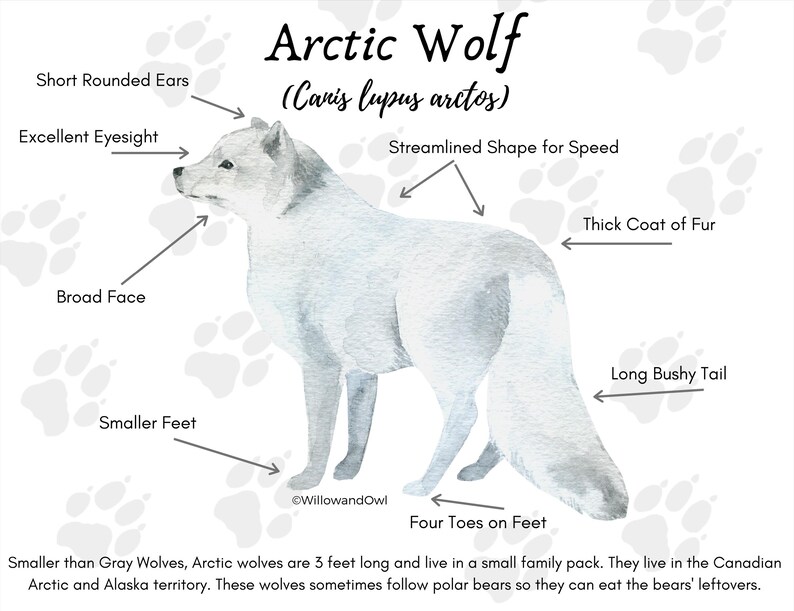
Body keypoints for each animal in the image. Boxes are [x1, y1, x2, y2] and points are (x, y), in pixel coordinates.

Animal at [173, 117, 628, 520]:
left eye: (226, 164)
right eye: (210, 154)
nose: (176, 170)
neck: (289, 228)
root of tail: (526, 261)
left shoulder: (319, 366)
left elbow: (320, 434)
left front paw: (310, 480)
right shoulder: (360, 372)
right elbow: (359, 429)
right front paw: (348, 473)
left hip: (440, 362)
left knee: (464, 417)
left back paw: (425, 485)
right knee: (497, 426)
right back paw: (474, 473)